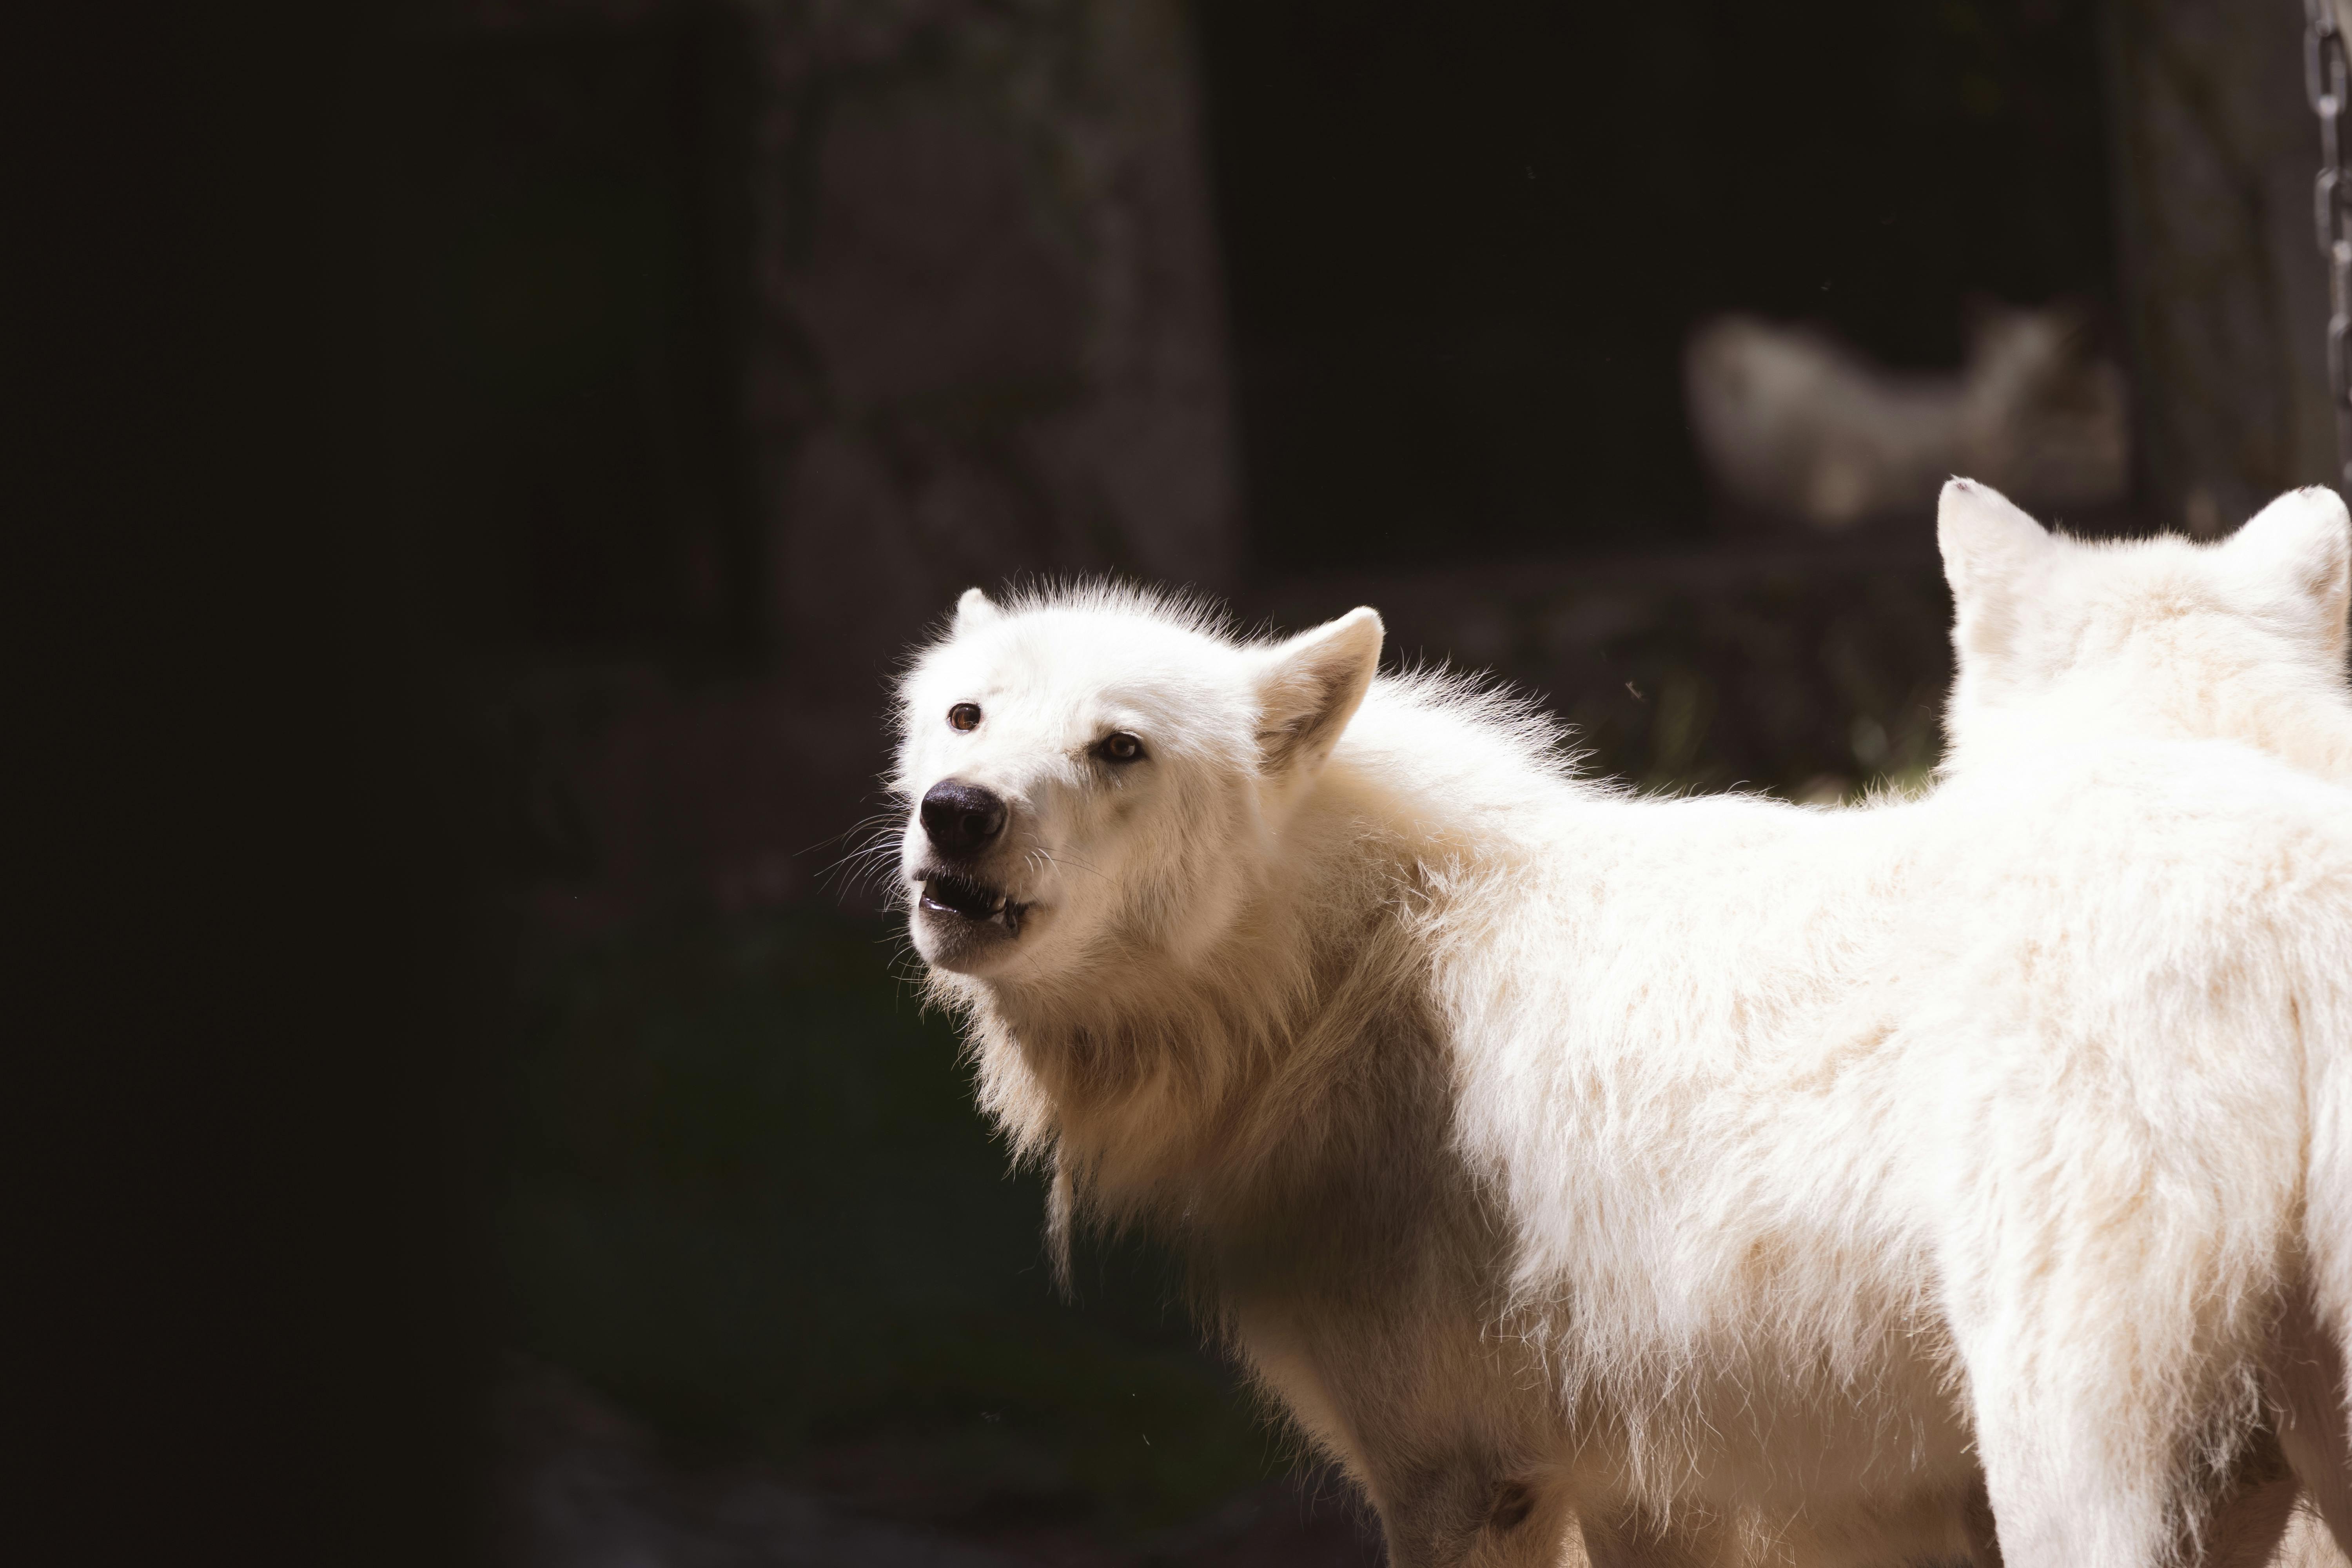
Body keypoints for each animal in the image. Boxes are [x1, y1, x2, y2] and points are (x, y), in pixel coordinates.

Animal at [892, 584, 2352, 1568]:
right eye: (966, 715)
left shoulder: (1464, 1477)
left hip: (2067, 1463)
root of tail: (2296, 903)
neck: (1341, 975)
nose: (955, 812)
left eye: (1119, 747)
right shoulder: (1650, 1491)